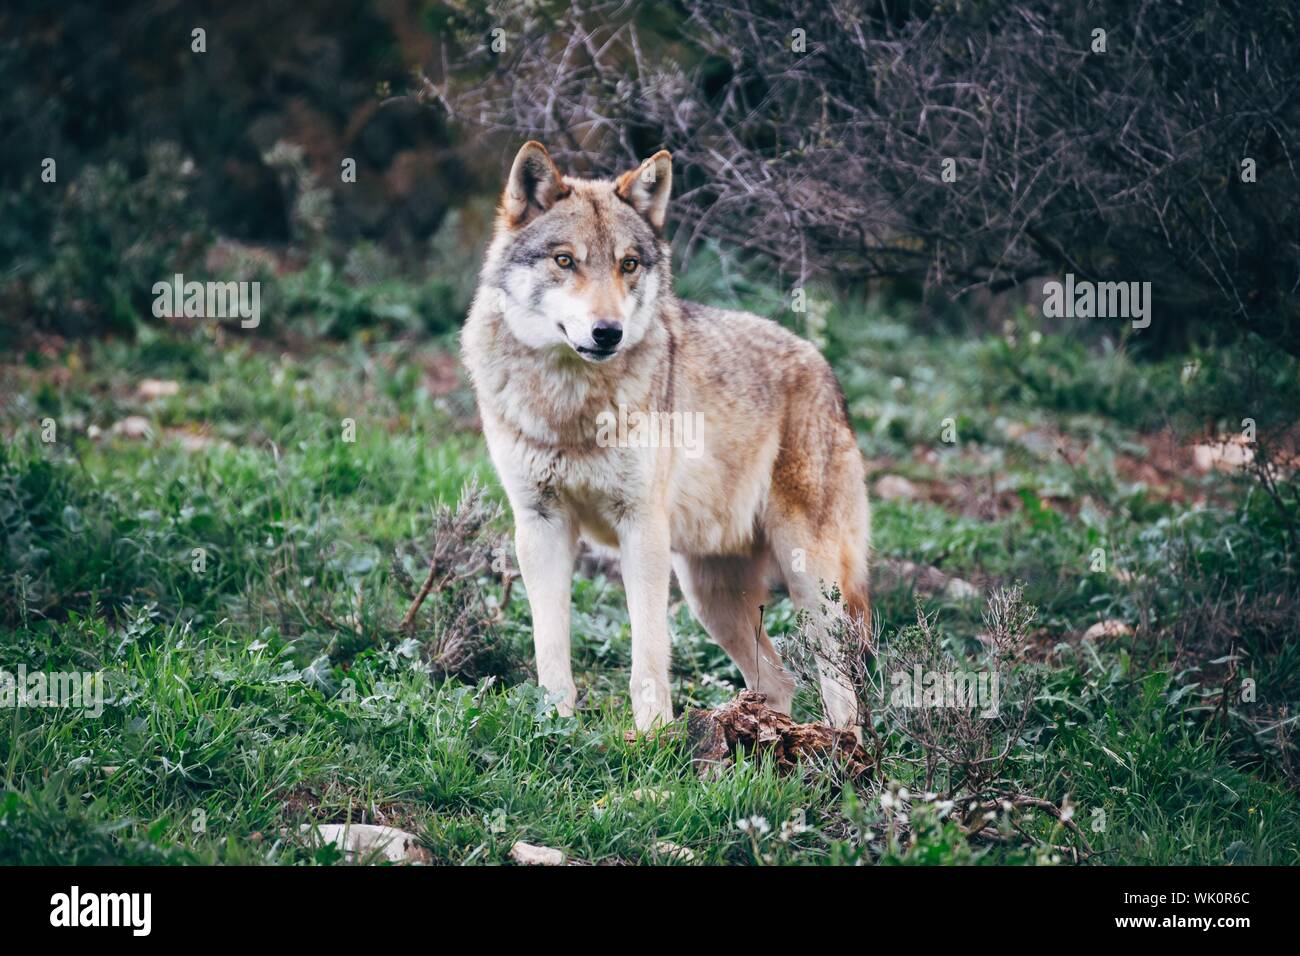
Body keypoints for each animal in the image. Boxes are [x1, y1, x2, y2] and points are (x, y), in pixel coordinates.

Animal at [461, 142, 871, 733]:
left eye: (628, 264)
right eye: (565, 261)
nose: (607, 333)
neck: (569, 405)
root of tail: (825, 368)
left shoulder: (641, 527)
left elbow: (649, 656)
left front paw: (653, 736)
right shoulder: (540, 525)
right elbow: (550, 650)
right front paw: (555, 726)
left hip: (808, 578)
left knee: (840, 683)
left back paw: (841, 749)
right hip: (712, 596)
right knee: (780, 680)